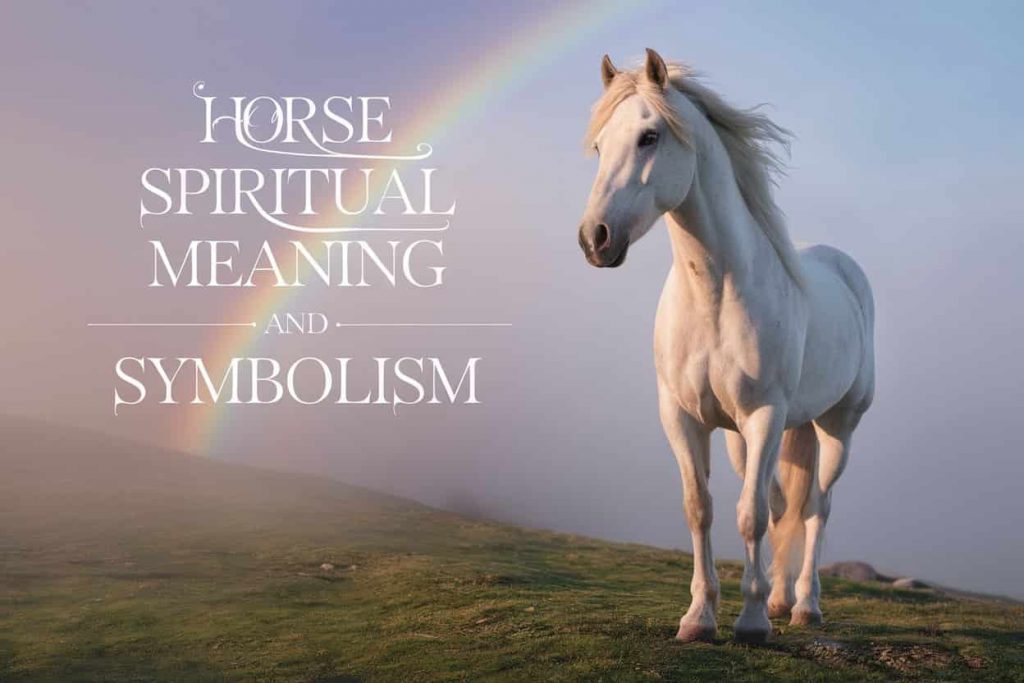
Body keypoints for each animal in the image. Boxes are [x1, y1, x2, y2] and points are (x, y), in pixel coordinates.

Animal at [577, 49, 874, 643]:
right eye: (599, 146)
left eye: (649, 137)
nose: (594, 238)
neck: (714, 294)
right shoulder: (682, 417)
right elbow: (702, 508)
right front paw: (699, 616)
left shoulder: (764, 416)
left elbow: (750, 515)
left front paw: (751, 621)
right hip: (752, 436)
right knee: (785, 503)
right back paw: (780, 599)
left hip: (836, 427)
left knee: (817, 508)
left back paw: (804, 606)